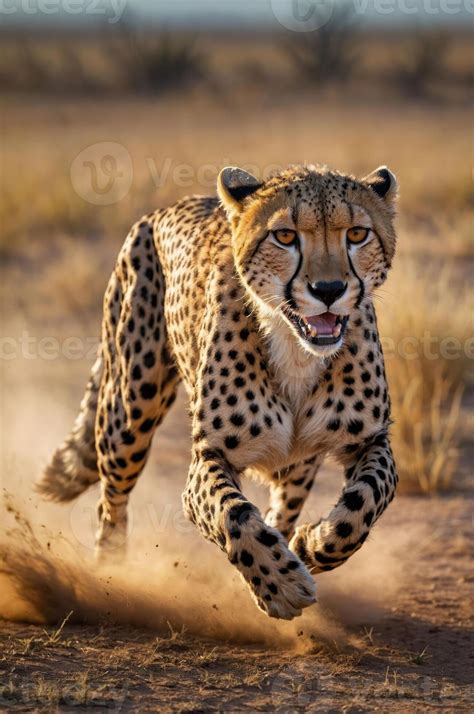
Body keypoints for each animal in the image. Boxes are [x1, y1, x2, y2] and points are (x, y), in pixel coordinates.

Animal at [37, 163, 399, 621]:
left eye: (356, 234)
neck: (296, 349)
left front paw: (313, 543)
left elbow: (365, 503)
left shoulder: (371, 441)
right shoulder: (208, 458)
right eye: (285, 236)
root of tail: (159, 211)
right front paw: (280, 584)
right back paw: (110, 574)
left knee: (286, 502)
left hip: (299, 462)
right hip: (129, 410)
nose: (329, 290)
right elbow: (232, 514)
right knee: (111, 501)